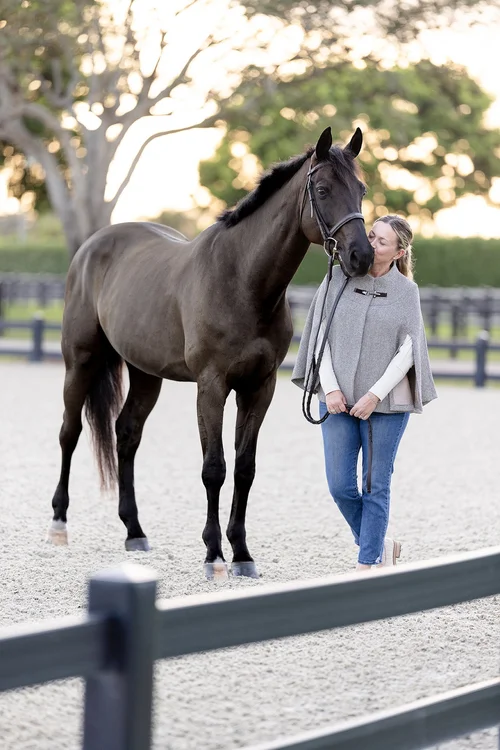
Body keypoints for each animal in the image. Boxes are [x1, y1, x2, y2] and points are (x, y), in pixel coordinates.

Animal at [47, 125, 374, 579]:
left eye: (361, 189)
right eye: (323, 190)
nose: (362, 256)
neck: (241, 281)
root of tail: (91, 247)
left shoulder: (259, 387)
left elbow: (244, 467)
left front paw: (242, 553)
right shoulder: (212, 386)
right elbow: (214, 468)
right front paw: (214, 554)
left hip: (146, 373)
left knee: (126, 434)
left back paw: (134, 531)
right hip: (80, 361)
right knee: (70, 432)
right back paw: (59, 524)